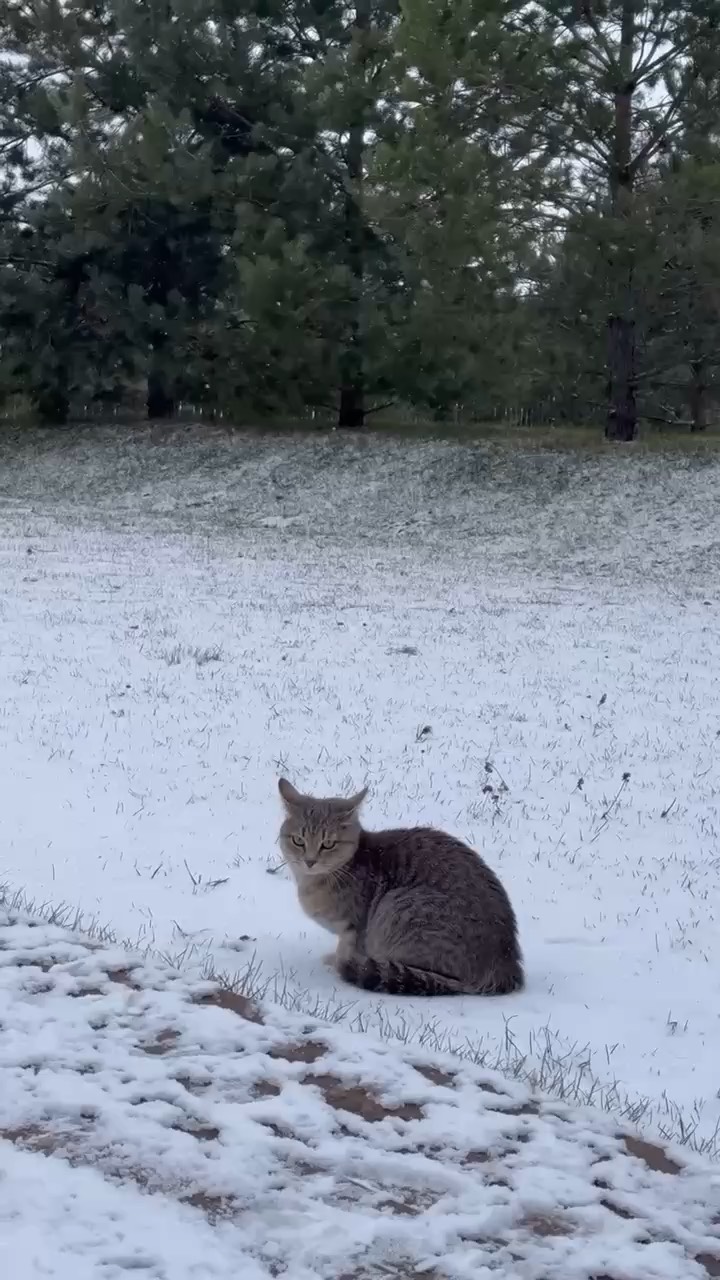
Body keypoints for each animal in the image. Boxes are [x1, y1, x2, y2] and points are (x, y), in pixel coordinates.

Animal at [274, 778, 520, 998]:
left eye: (328, 844)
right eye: (298, 841)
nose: (309, 861)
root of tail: (506, 966)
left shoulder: (356, 927)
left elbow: (347, 947)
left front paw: (338, 961)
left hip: (398, 906)